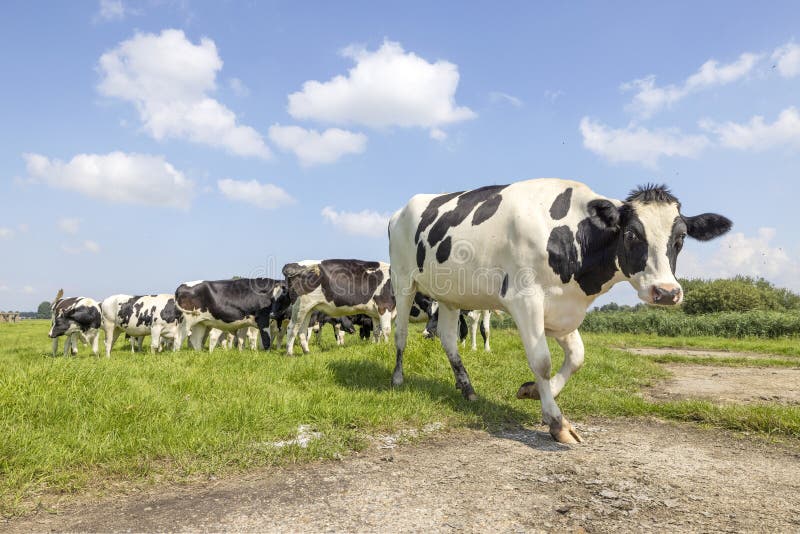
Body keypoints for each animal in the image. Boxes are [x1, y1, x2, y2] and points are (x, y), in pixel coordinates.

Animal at [389, 179, 731, 443]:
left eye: (681, 237)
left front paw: (532, 392)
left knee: (448, 339)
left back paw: (467, 388)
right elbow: (542, 361)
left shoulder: (562, 308)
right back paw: (397, 378)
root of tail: (401, 210)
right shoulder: (525, 299)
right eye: (632, 234)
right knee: (401, 333)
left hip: (450, 296)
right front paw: (556, 421)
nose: (667, 292)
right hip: (403, 281)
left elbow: (577, 357)